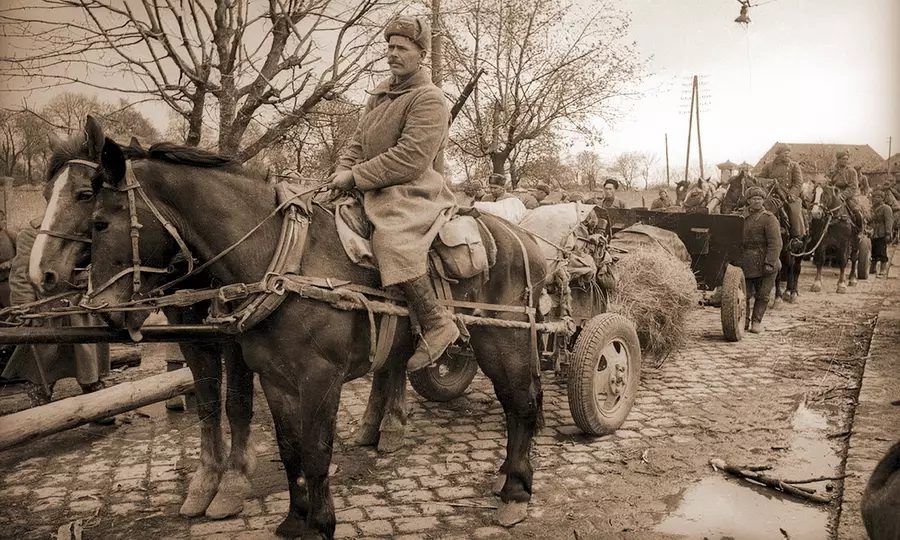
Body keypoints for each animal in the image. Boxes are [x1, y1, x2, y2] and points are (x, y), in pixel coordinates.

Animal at [29, 118, 255, 520]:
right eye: (45, 194)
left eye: (85, 195)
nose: (41, 274)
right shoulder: (193, 338)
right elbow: (209, 404)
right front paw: (206, 480)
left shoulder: (236, 338)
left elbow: (237, 403)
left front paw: (234, 480)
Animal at [86, 137, 548, 536]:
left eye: (99, 222)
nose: (101, 310)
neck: (283, 261)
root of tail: (523, 237)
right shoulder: (275, 379)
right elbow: (291, 450)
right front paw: (295, 519)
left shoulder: (321, 379)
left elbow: (317, 450)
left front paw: (321, 524)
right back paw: (507, 479)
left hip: (502, 341)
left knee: (521, 405)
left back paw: (515, 491)